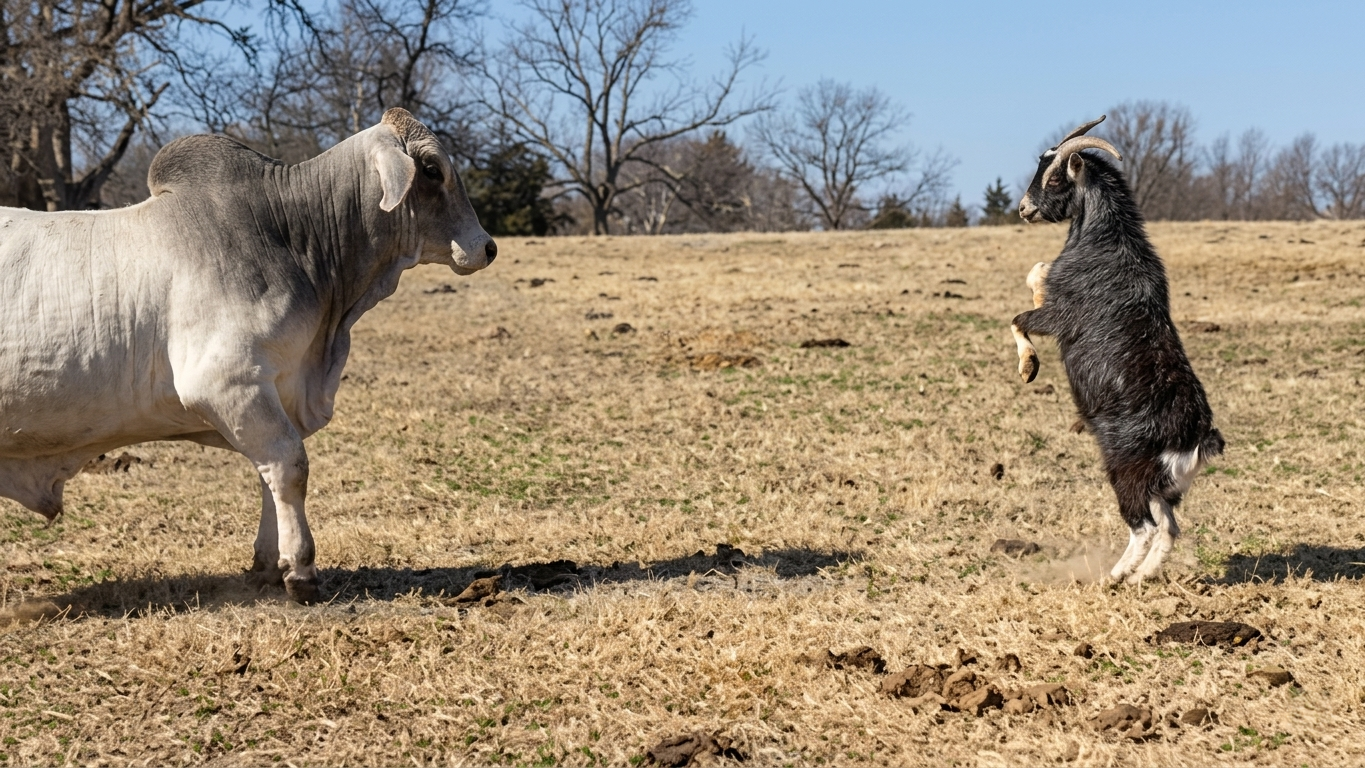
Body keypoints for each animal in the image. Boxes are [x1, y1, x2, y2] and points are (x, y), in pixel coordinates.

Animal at [0, 109, 495, 603]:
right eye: (431, 169)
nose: (488, 246)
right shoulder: (227, 383)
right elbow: (290, 467)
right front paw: (301, 570)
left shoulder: (272, 388)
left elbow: (268, 475)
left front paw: (268, 566)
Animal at [1010, 116, 1225, 584]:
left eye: (1056, 176)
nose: (1024, 209)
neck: (1108, 239)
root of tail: (1196, 438)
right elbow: (1037, 273)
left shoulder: (1061, 317)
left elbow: (1022, 312)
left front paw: (1028, 367)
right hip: (1161, 485)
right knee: (1168, 527)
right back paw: (1143, 577)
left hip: (1124, 468)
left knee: (1144, 527)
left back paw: (1115, 576)